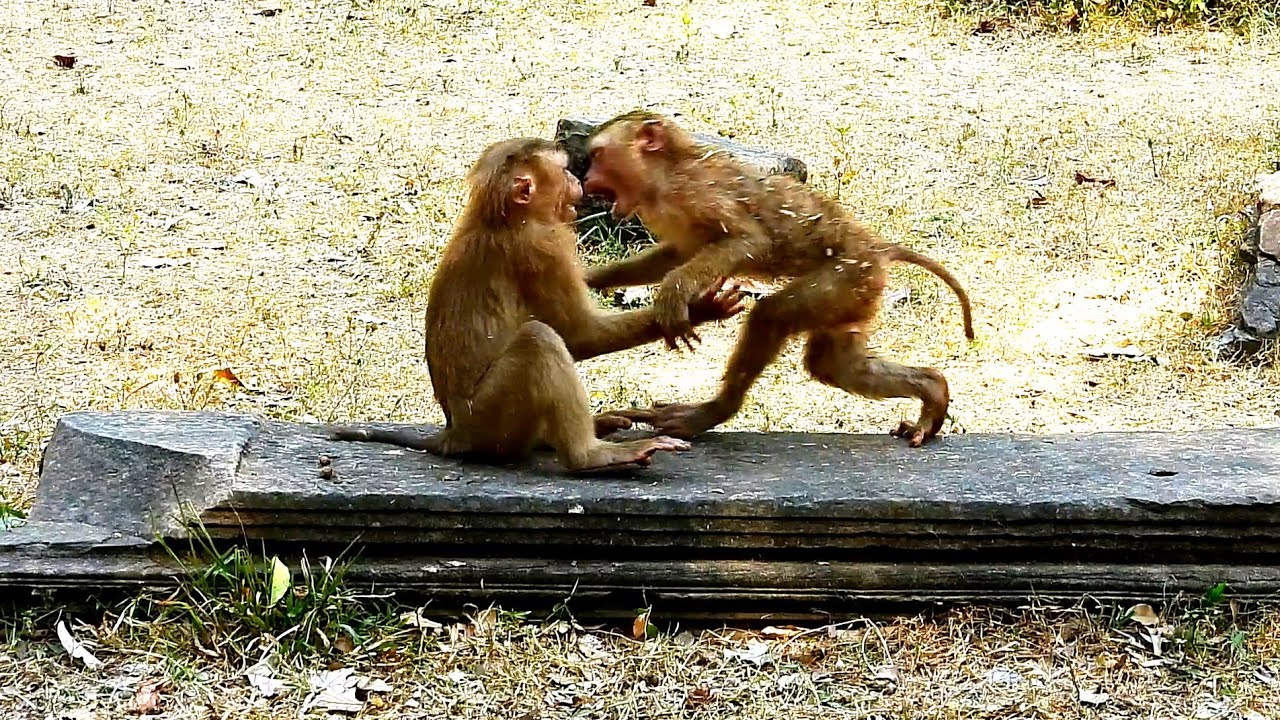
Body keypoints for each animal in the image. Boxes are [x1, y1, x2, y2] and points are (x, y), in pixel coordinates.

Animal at [328, 137, 746, 472]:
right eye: (564, 171)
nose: (579, 182)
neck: (500, 218)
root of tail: (453, 434)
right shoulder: (542, 246)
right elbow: (578, 335)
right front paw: (699, 309)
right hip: (491, 420)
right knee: (538, 340)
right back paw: (588, 456)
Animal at [579, 111, 975, 447]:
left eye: (597, 155)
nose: (585, 180)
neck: (663, 177)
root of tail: (877, 248)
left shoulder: (695, 191)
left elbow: (749, 241)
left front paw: (674, 294)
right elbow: (677, 255)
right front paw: (591, 279)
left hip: (845, 276)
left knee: (771, 317)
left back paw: (712, 412)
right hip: (858, 291)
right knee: (833, 365)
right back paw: (933, 389)